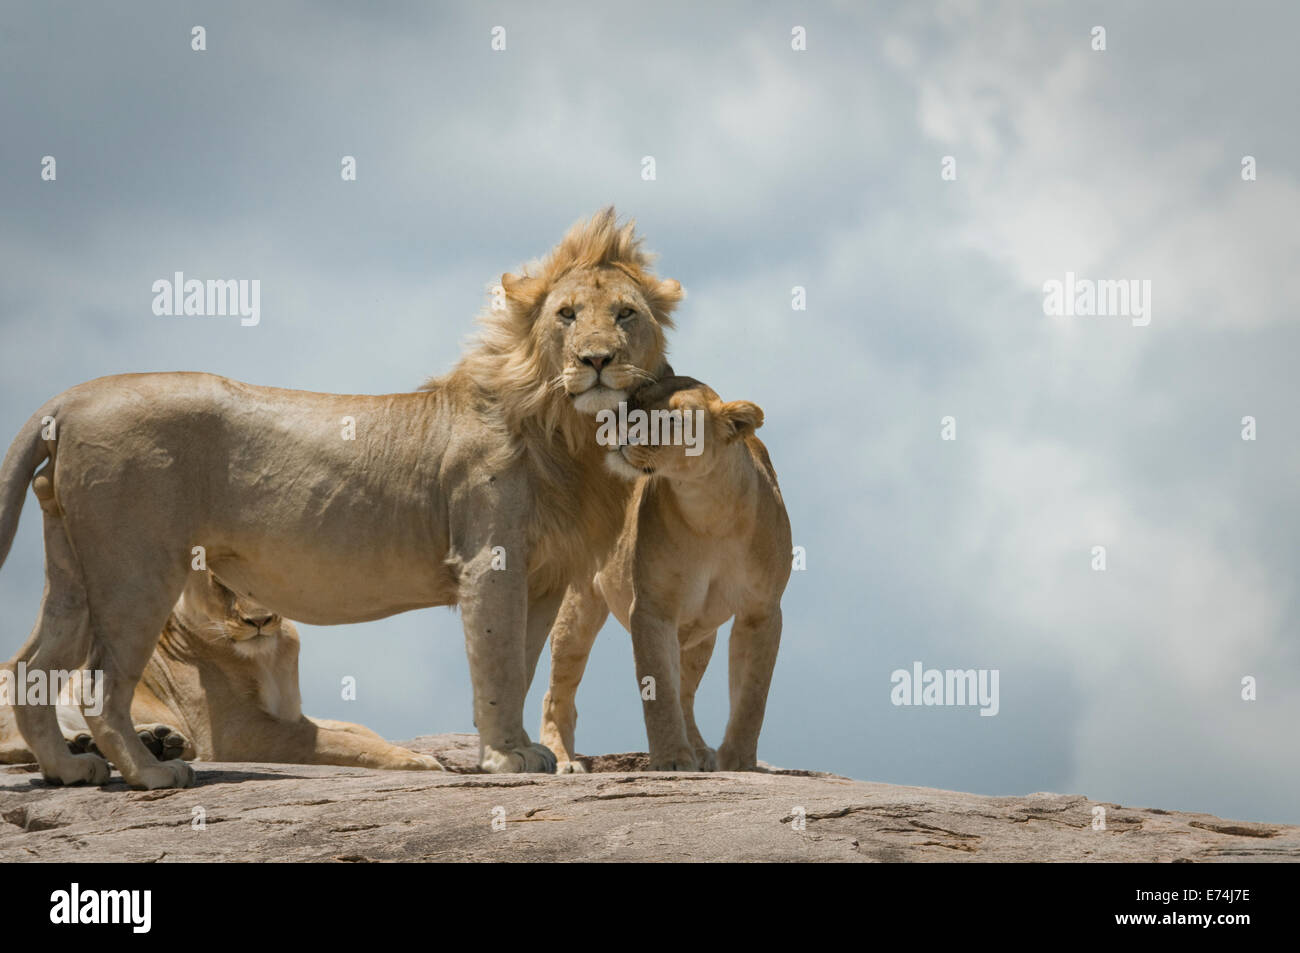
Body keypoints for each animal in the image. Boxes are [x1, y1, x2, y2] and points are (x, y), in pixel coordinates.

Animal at [0, 569, 443, 769]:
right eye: (221, 580)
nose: (260, 620)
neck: (271, 654)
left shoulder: (292, 712)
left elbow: (354, 729)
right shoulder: (237, 733)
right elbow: (340, 742)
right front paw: (416, 761)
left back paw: (153, 742)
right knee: (15, 740)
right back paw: (85, 748)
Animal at [539, 376, 791, 772]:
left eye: (673, 420)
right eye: (632, 405)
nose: (620, 431)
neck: (709, 509)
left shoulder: (762, 610)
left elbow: (752, 695)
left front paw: (738, 763)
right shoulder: (653, 608)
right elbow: (658, 688)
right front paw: (672, 759)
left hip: (701, 633)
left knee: (686, 692)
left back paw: (701, 750)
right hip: (579, 608)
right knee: (557, 691)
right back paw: (563, 759)